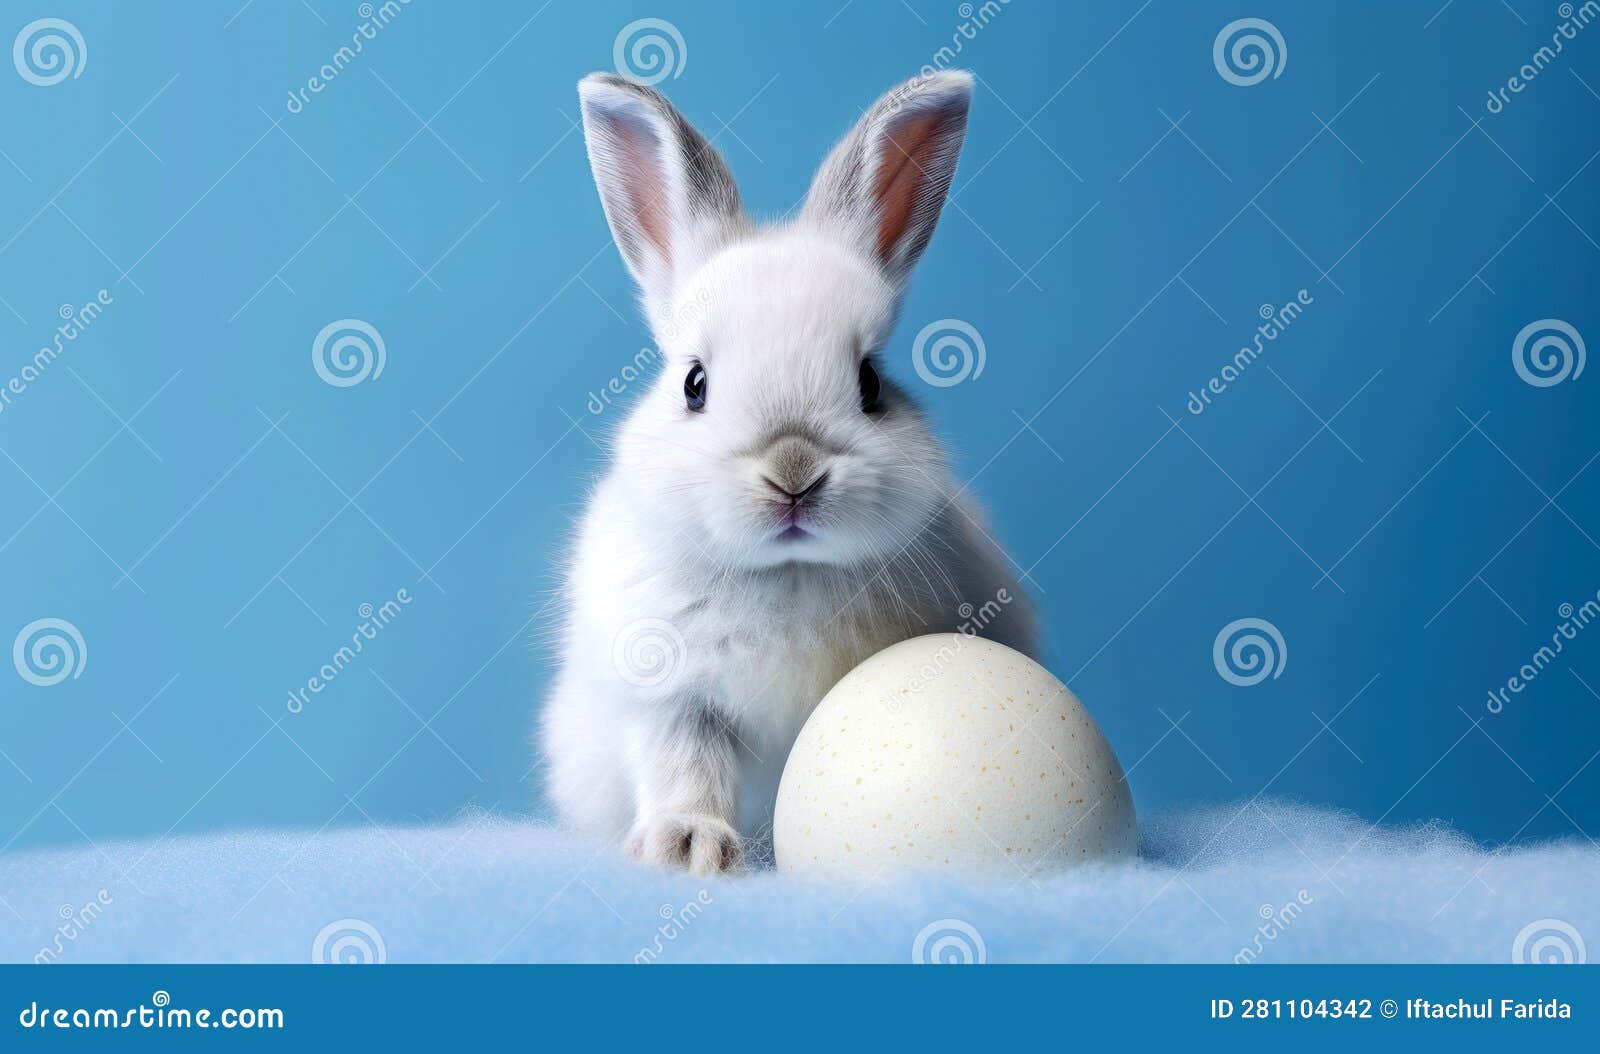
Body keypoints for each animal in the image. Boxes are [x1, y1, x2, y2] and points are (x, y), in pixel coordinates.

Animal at [540, 69, 1036, 875]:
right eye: (695, 384)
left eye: (870, 382)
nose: (793, 472)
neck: (787, 572)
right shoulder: (673, 702)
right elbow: (686, 768)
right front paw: (687, 847)